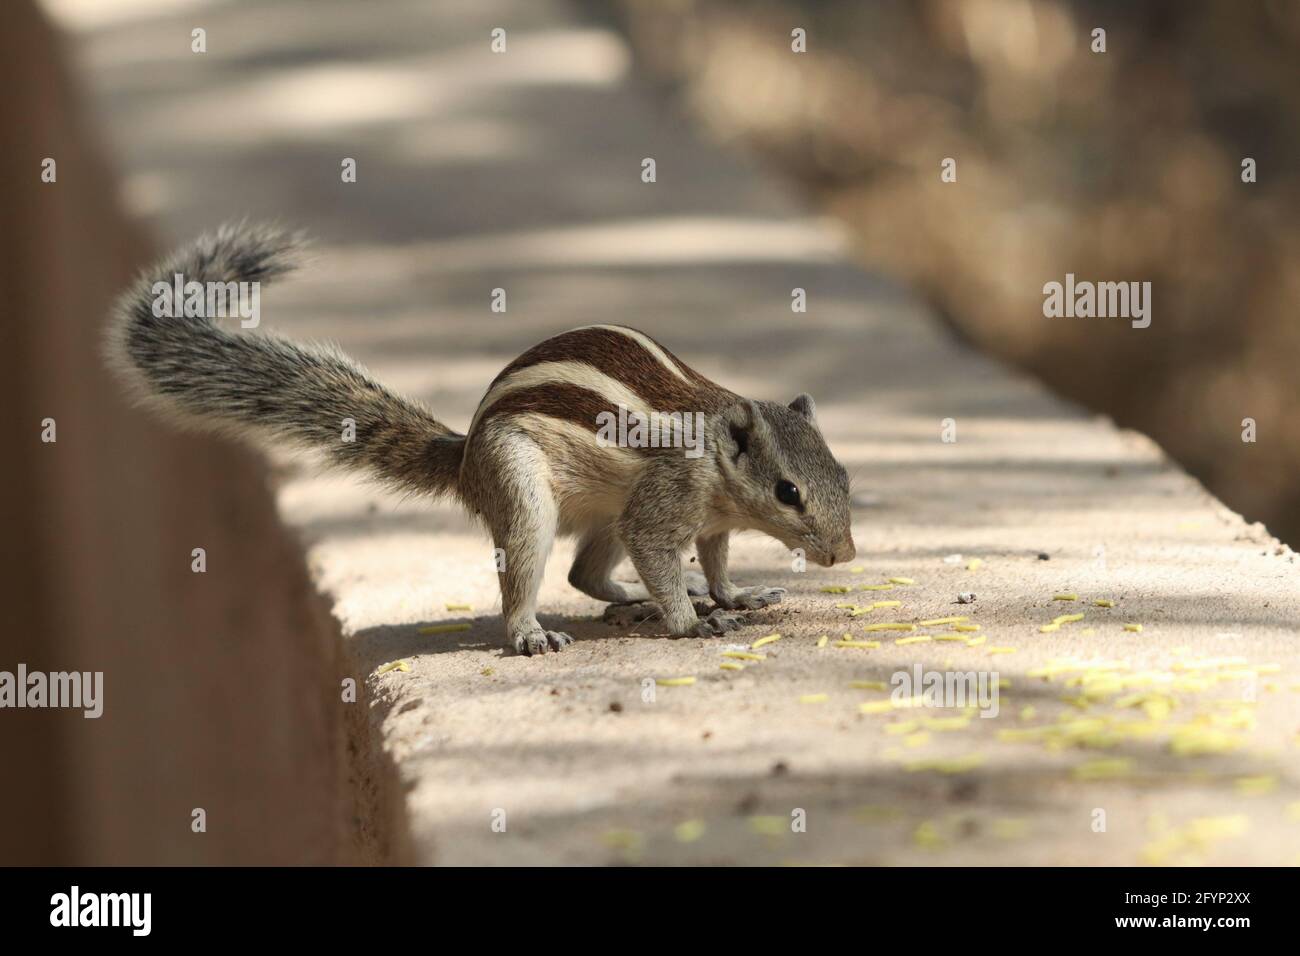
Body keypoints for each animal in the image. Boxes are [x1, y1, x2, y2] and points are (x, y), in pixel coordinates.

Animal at [106, 225, 857, 655]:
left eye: (845, 478)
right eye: (788, 492)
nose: (845, 554)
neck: (718, 465)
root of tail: (465, 457)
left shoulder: (711, 519)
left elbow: (718, 560)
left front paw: (733, 596)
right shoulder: (666, 497)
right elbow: (657, 550)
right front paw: (689, 620)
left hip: (601, 506)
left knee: (584, 573)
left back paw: (636, 599)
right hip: (521, 487)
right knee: (536, 568)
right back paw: (531, 632)